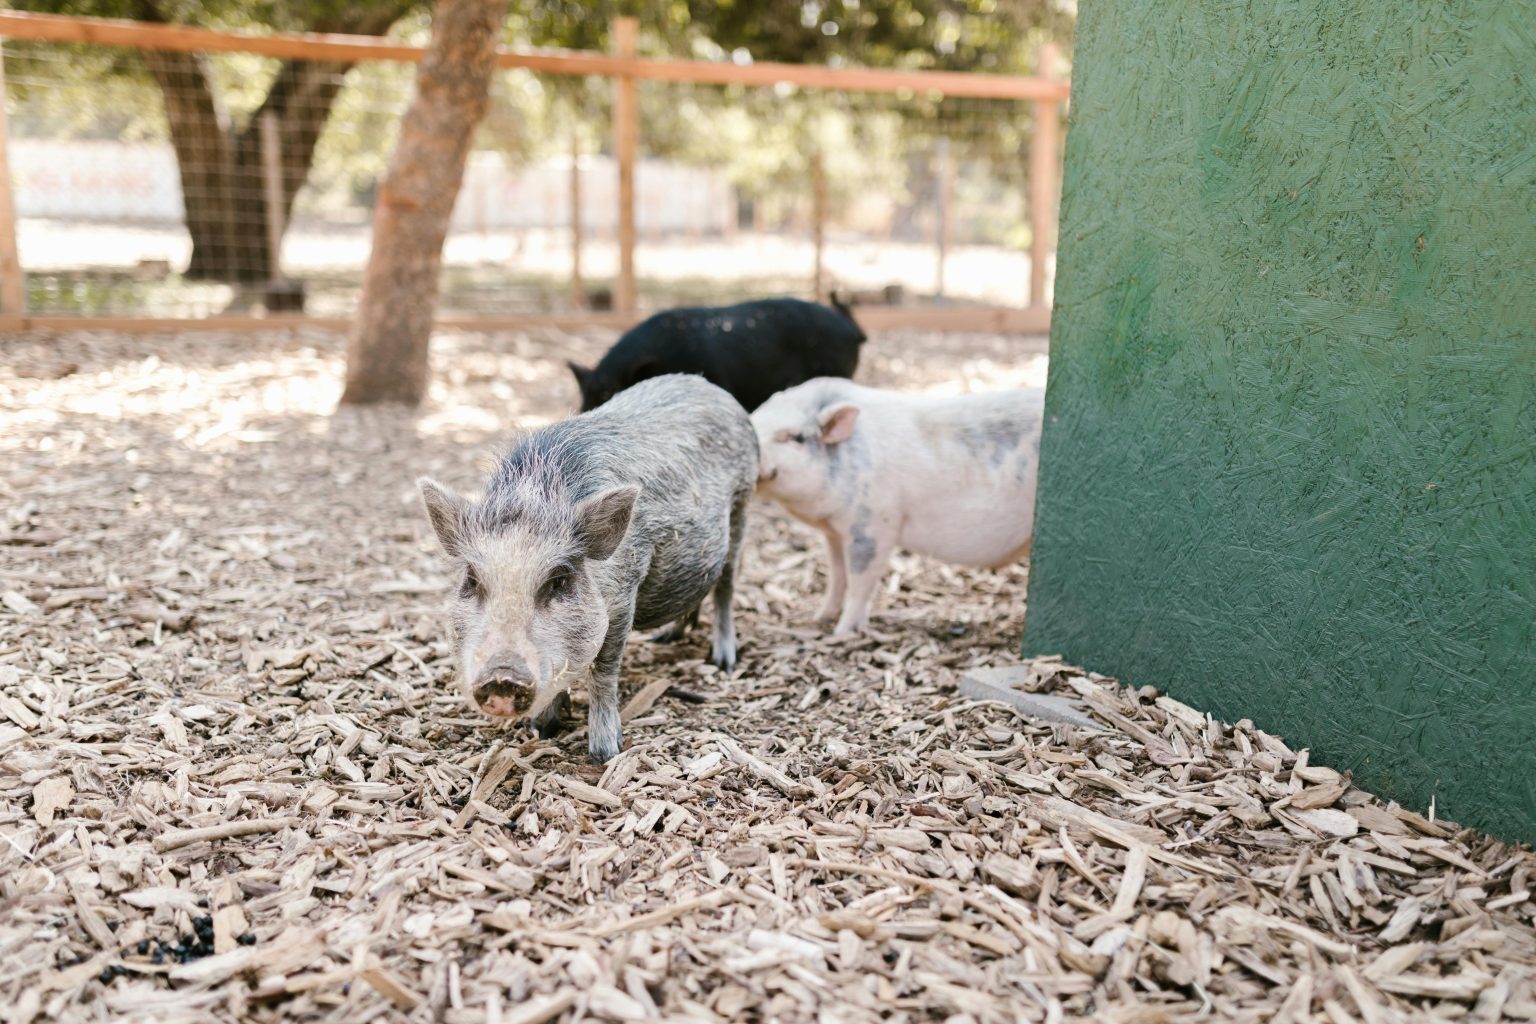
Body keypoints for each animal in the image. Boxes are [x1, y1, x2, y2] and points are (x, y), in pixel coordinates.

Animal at [417, 374, 758, 763]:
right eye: (472, 579)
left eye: (560, 579)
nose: (502, 677)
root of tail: (714, 389)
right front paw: (540, 729)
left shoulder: (625, 596)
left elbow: (604, 672)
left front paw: (606, 753)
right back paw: (667, 637)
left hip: (742, 508)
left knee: (726, 586)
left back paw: (723, 662)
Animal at [752, 378, 1045, 636]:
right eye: (754, 420)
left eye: (794, 437)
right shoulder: (834, 532)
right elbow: (837, 575)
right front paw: (819, 618)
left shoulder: (875, 525)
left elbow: (859, 582)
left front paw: (841, 633)